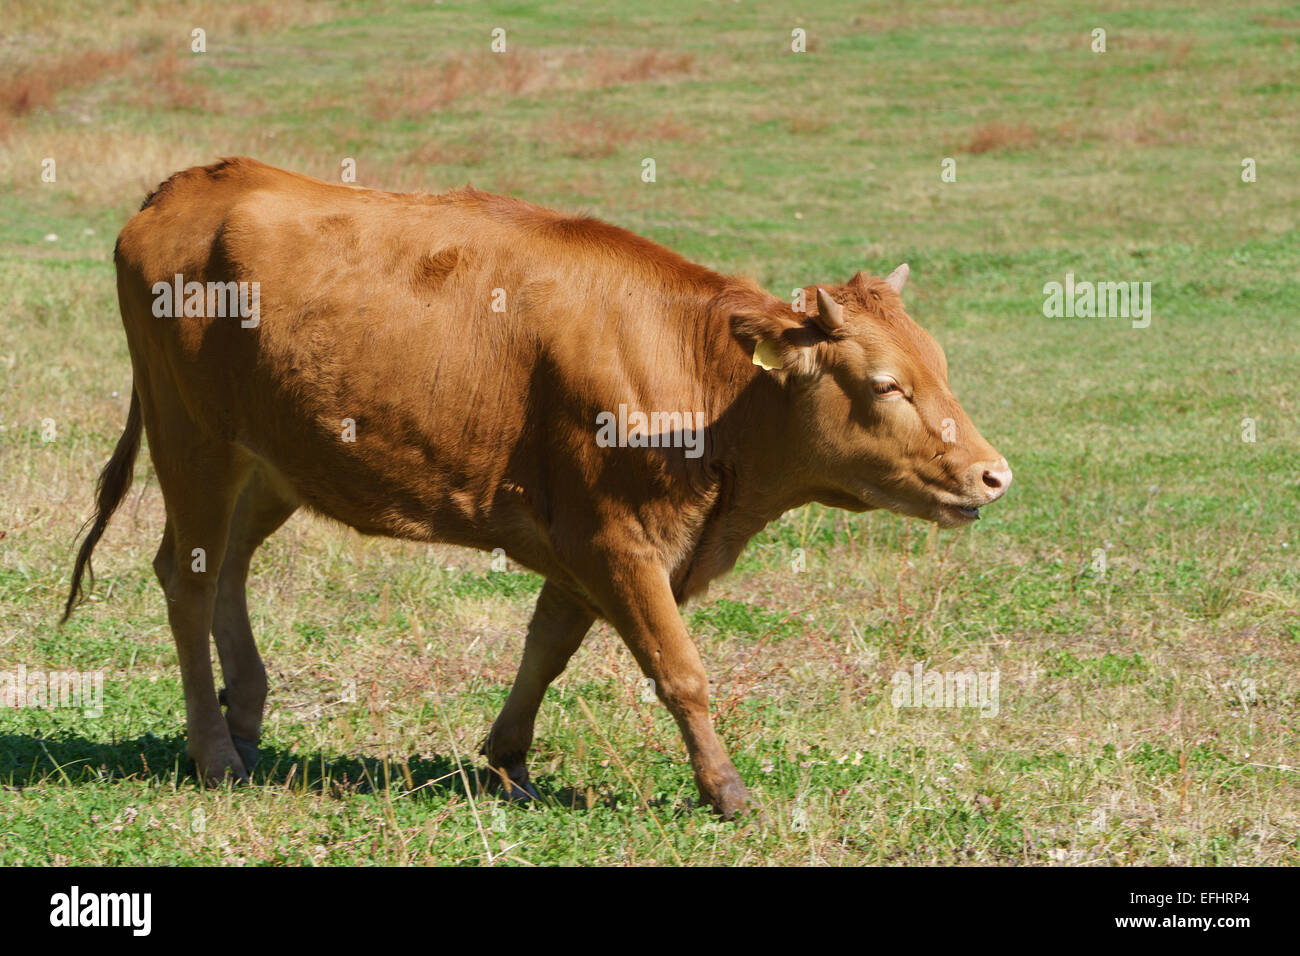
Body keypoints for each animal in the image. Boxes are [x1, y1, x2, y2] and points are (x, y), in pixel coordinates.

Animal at [63, 158, 1011, 818]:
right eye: (886, 385)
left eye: (940, 366)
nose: (993, 474)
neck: (699, 383)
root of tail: (192, 183)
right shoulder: (615, 537)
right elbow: (680, 669)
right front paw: (727, 791)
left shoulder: (585, 540)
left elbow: (548, 647)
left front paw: (508, 757)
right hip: (193, 441)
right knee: (187, 579)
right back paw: (215, 753)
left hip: (271, 465)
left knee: (226, 567)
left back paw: (248, 716)